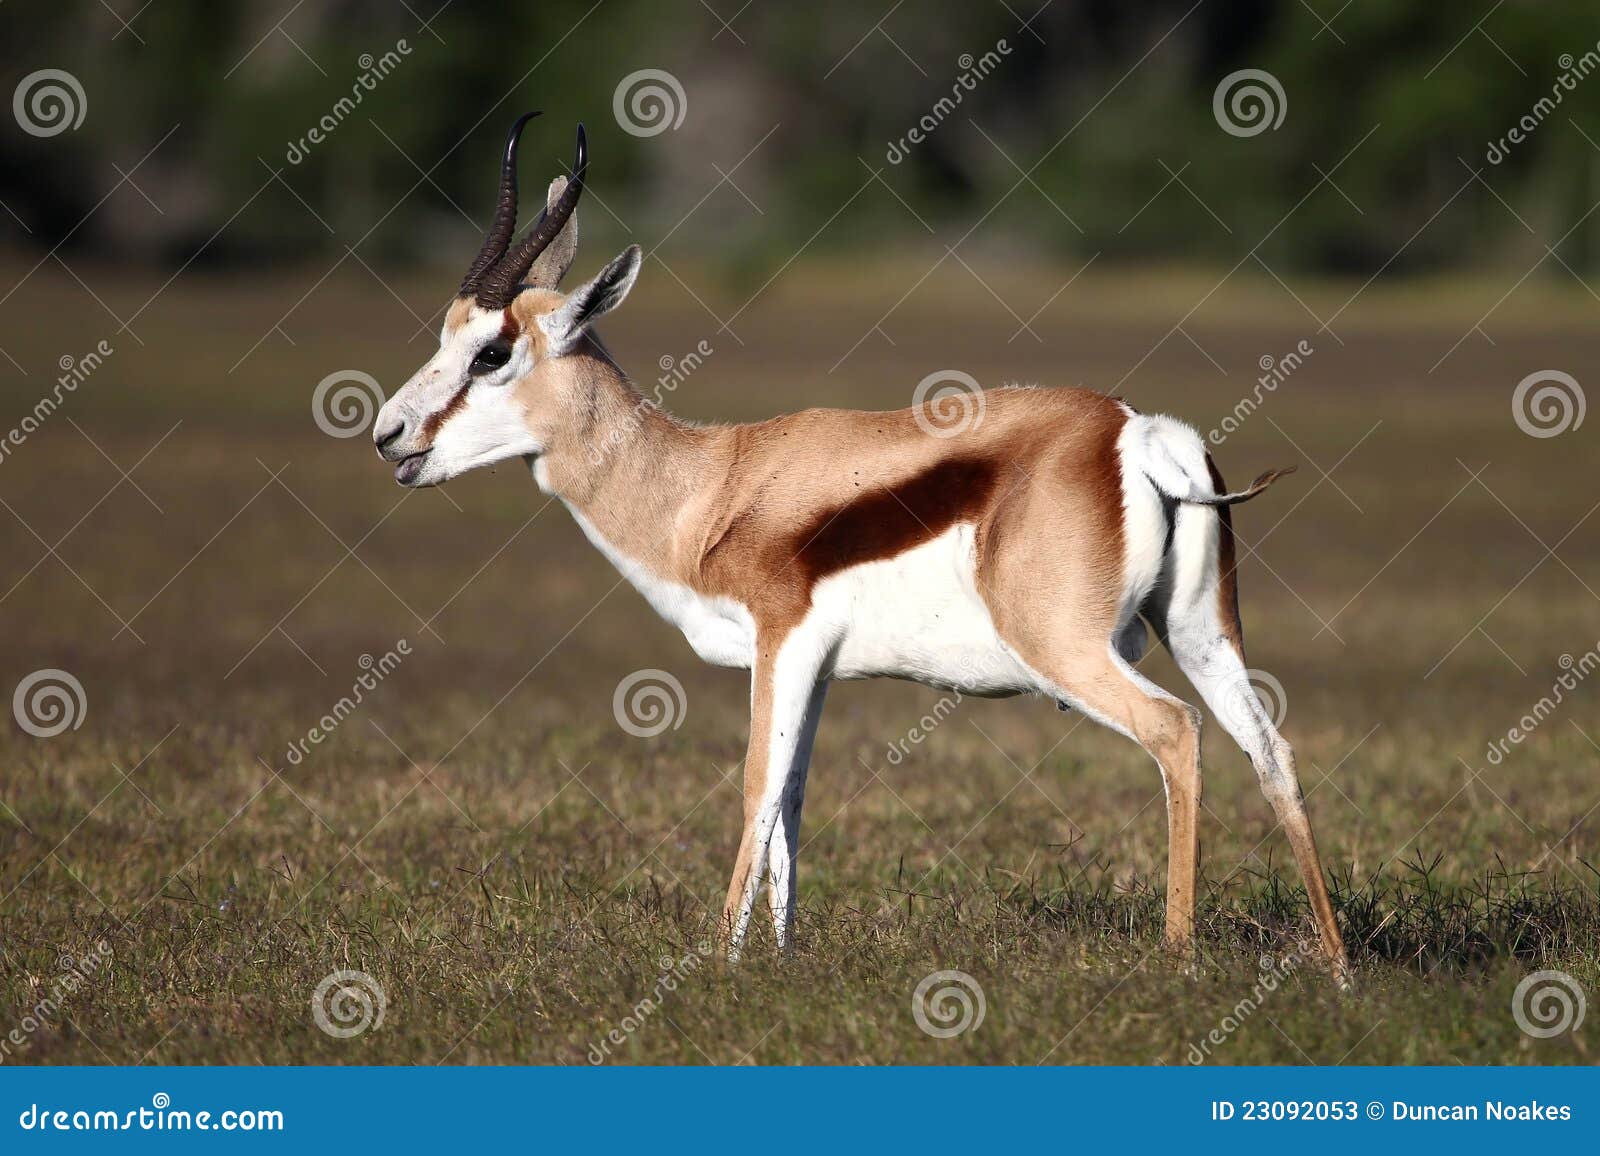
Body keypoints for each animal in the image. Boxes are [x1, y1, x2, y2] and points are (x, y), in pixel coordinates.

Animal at [372, 113, 1350, 984]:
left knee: (1175, 732)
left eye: (491, 352)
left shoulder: (781, 641)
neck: (709, 487)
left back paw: (1178, 961)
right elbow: (792, 801)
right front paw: (779, 959)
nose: (388, 434)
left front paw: (714, 967)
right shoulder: (816, 665)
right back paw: (1338, 969)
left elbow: (756, 787)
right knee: (1271, 749)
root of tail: (1135, 433)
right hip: (1201, 634)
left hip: (1067, 651)